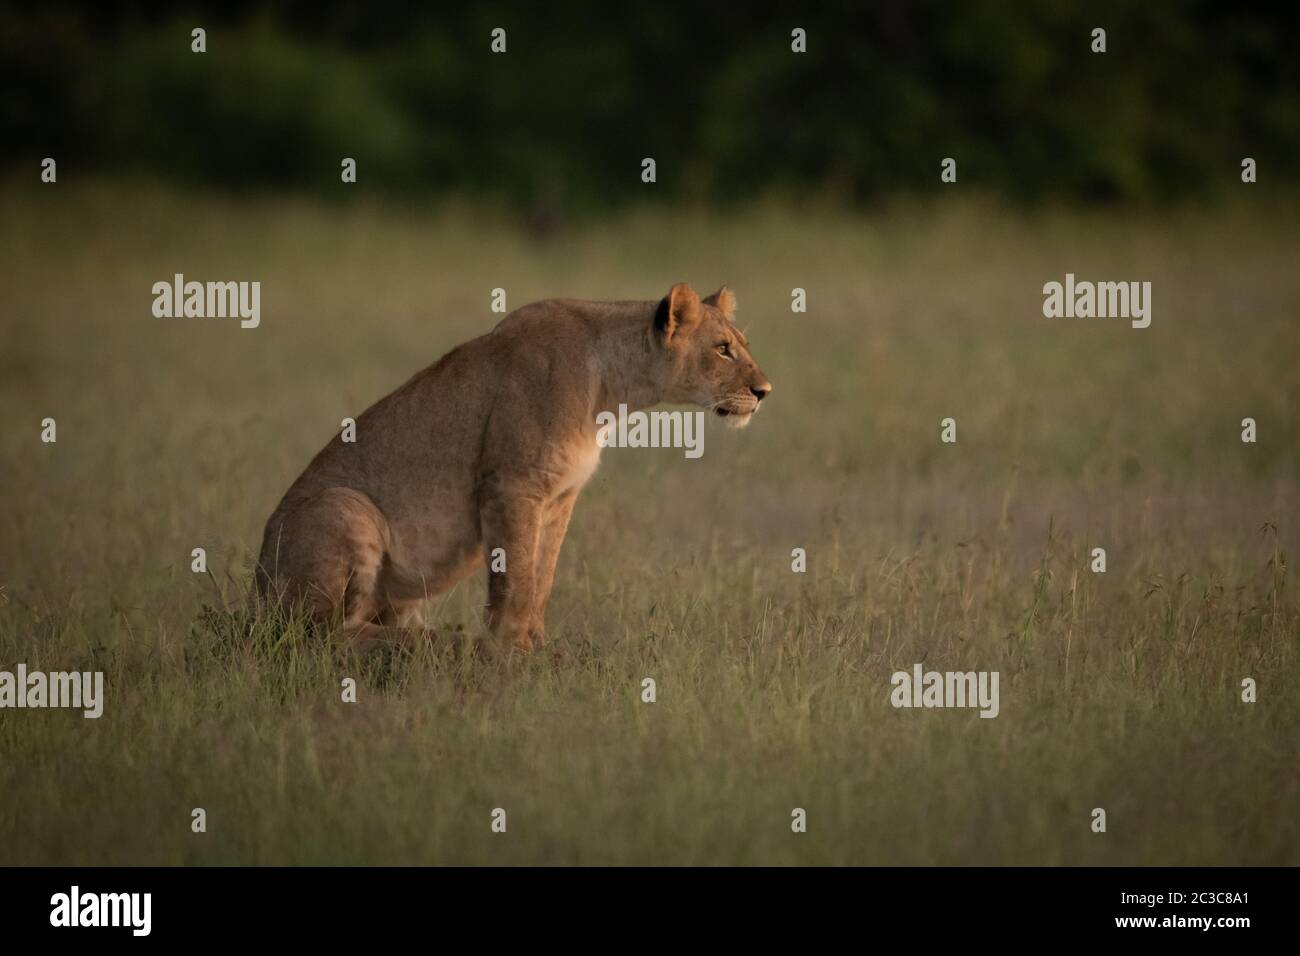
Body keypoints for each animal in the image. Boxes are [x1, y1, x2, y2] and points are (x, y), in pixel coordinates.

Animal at [255, 282, 772, 650]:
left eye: (745, 343)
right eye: (722, 348)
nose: (765, 391)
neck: (610, 387)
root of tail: (254, 591)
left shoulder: (561, 494)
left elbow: (541, 573)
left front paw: (537, 643)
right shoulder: (512, 485)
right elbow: (516, 574)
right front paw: (510, 649)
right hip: (344, 506)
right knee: (321, 632)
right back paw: (426, 640)